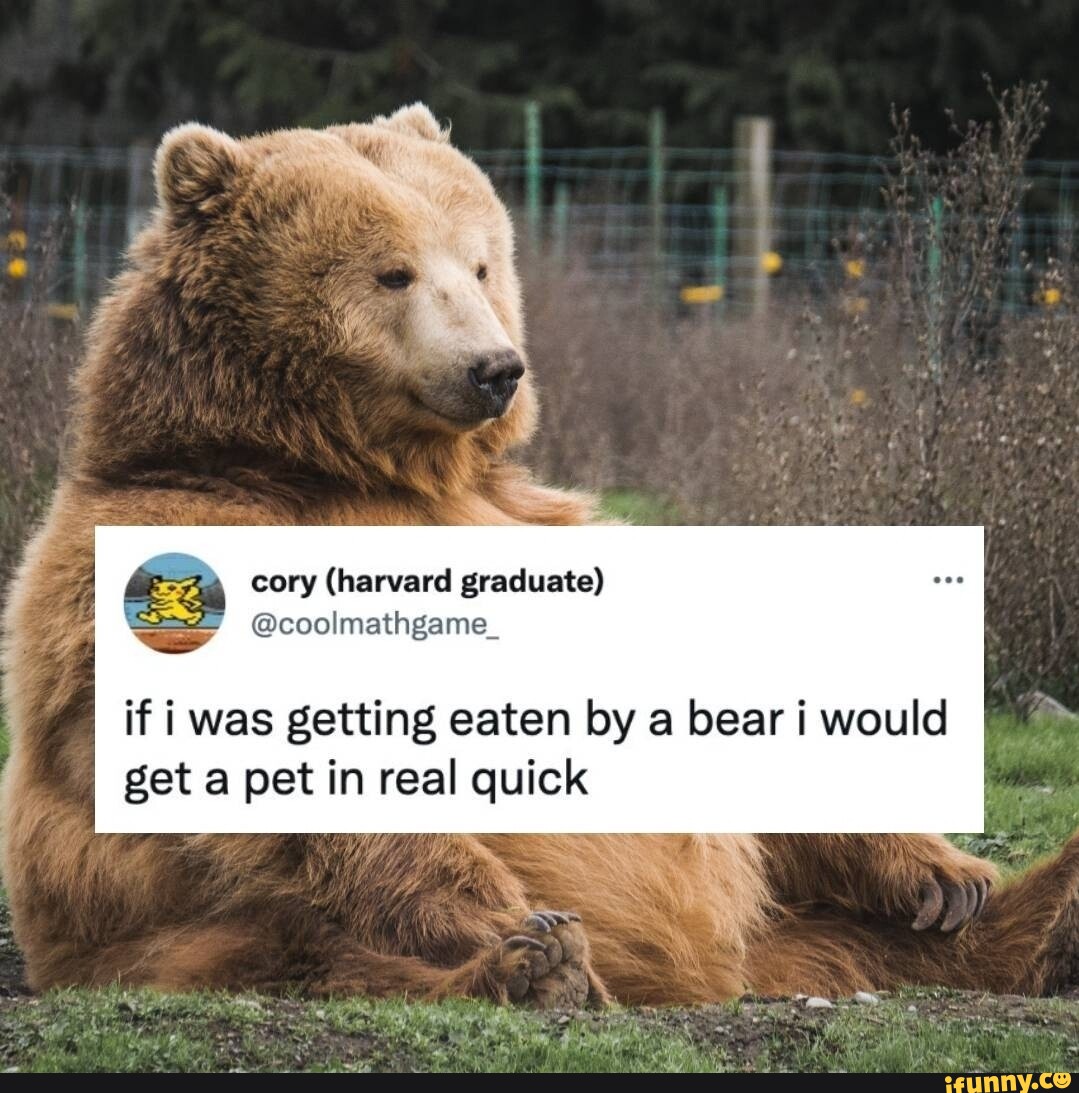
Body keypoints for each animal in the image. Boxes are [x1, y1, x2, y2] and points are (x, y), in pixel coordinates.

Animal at [1, 103, 1077, 1006]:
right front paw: (517, 925)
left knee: (876, 945)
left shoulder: (538, 520)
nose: (495, 368)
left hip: (793, 929)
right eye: (392, 271)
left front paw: (940, 870)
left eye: (478, 262)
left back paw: (1037, 913)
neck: (344, 464)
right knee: (308, 945)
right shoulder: (178, 542)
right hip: (169, 926)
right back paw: (534, 967)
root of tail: (704, 975)